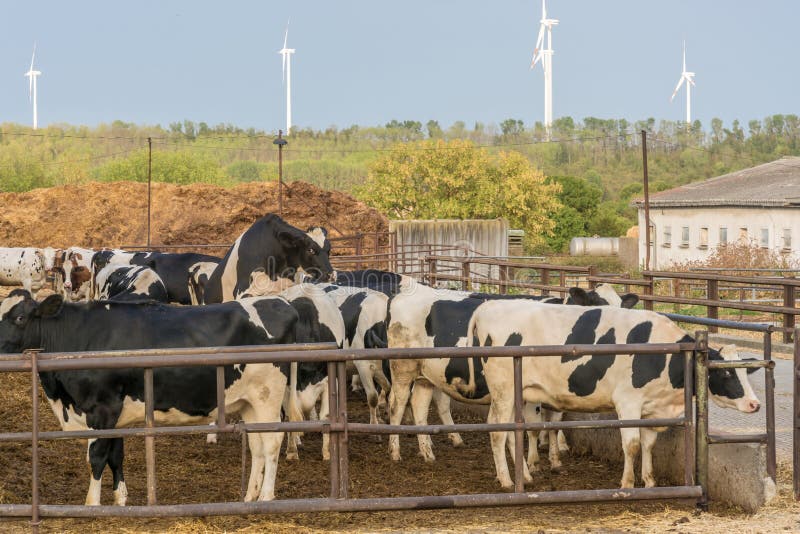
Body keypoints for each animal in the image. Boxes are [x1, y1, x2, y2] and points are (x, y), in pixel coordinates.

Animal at [0, 289, 300, 505]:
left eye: (20, 318)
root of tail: (281, 303)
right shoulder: (115, 413)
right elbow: (115, 455)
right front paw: (120, 500)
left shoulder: (102, 407)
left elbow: (97, 456)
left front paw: (92, 504)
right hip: (250, 402)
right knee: (257, 445)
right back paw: (249, 497)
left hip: (268, 396)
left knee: (272, 443)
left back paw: (266, 497)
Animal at [385, 283, 639, 465]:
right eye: (597, 305)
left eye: (624, 307)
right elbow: (533, 425)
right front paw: (533, 462)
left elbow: (554, 423)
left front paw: (555, 459)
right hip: (402, 370)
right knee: (396, 405)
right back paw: (395, 452)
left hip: (425, 376)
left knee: (419, 407)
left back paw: (428, 453)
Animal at [468, 301, 761, 489]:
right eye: (725, 373)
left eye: (746, 371)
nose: (754, 404)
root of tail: (488, 306)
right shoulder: (628, 402)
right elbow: (631, 445)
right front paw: (628, 483)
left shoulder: (651, 409)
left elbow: (648, 444)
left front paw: (650, 481)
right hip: (504, 389)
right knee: (497, 431)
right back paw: (508, 481)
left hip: (514, 393)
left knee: (507, 430)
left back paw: (524, 476)